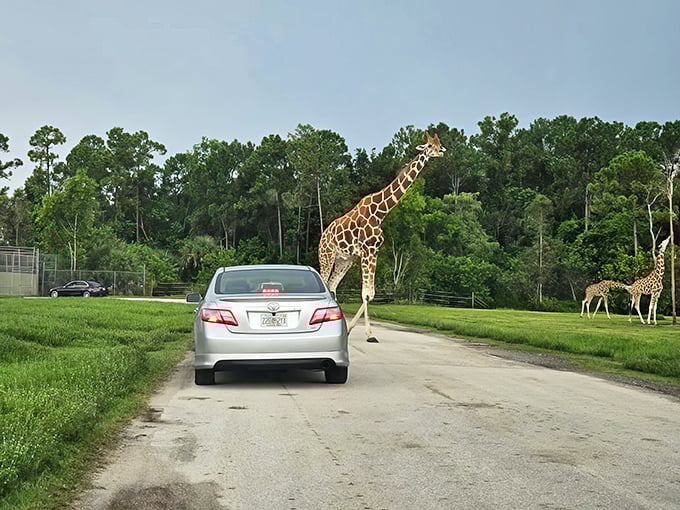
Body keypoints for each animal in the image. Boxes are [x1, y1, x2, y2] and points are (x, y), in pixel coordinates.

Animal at [319, 132, 446, 342]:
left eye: (439, 144)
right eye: (429, 146)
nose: (441, 152)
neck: (381, 212)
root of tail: (323, 236)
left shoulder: (372, 251)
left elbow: (370, 293)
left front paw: (351, 329)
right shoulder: (367, 250)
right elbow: (366, 294)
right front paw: (369, 334)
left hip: (345, 260)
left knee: (332, 285)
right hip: (327, 256)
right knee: (324, 281)